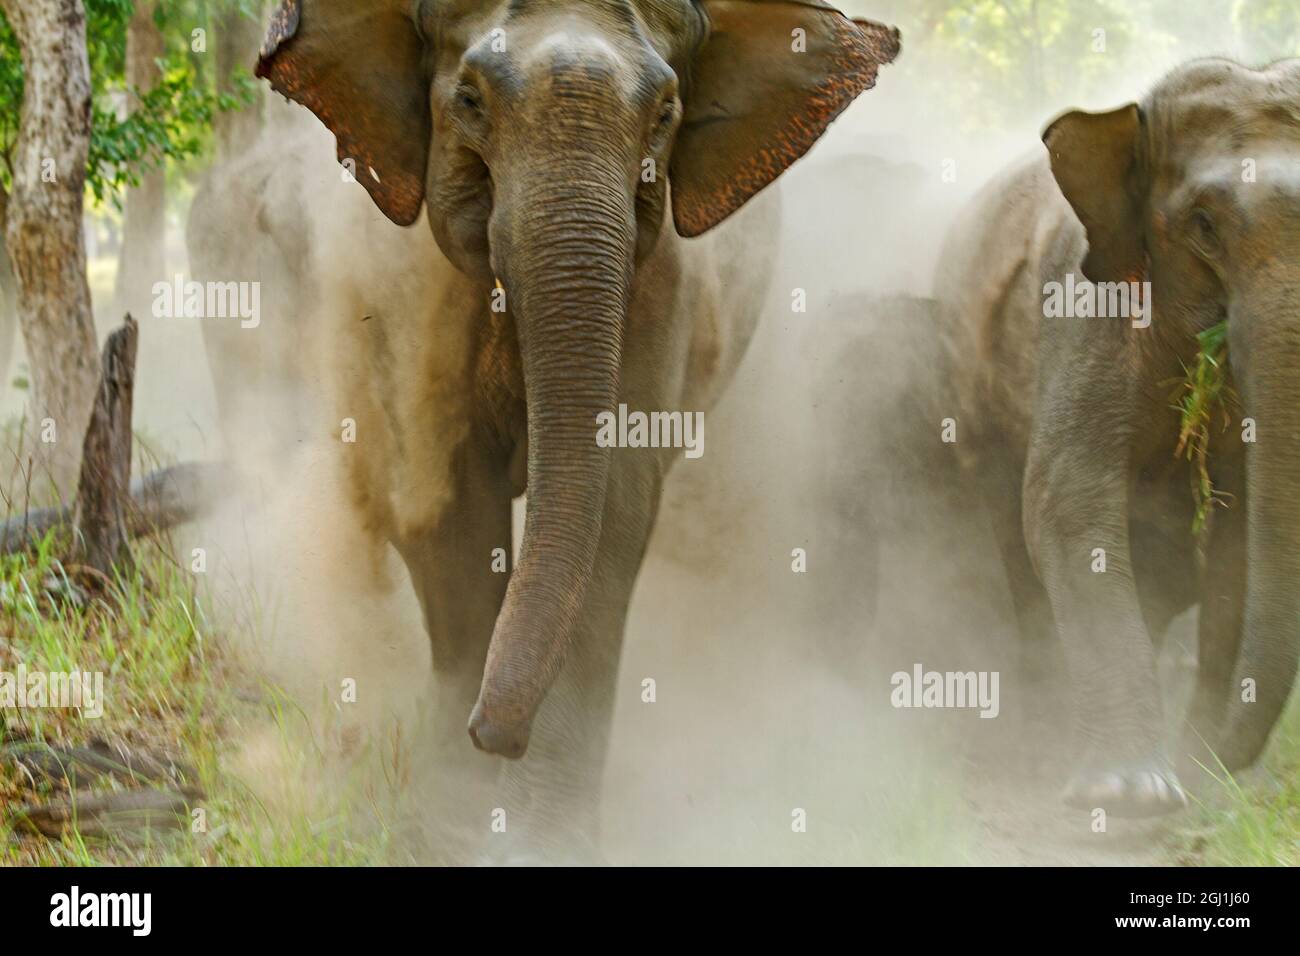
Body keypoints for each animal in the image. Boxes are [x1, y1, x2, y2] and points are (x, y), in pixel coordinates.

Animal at [207, 0, 900, 858]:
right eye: (469, 99)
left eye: (665, 114)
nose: (492, 732)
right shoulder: (405, 291)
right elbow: (445, 501)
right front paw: (459, 811)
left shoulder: (660, 287)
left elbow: (612, 507)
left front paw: (536, 841)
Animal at [931, 57, 1300, 817]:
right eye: (1203, 225)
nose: (1216, 769)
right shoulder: (1082, 302)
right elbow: (1065, 500)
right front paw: (1131, 795)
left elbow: (1240, 533)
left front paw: (1196, 779)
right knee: (1010, 520)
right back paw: (1042, 735)